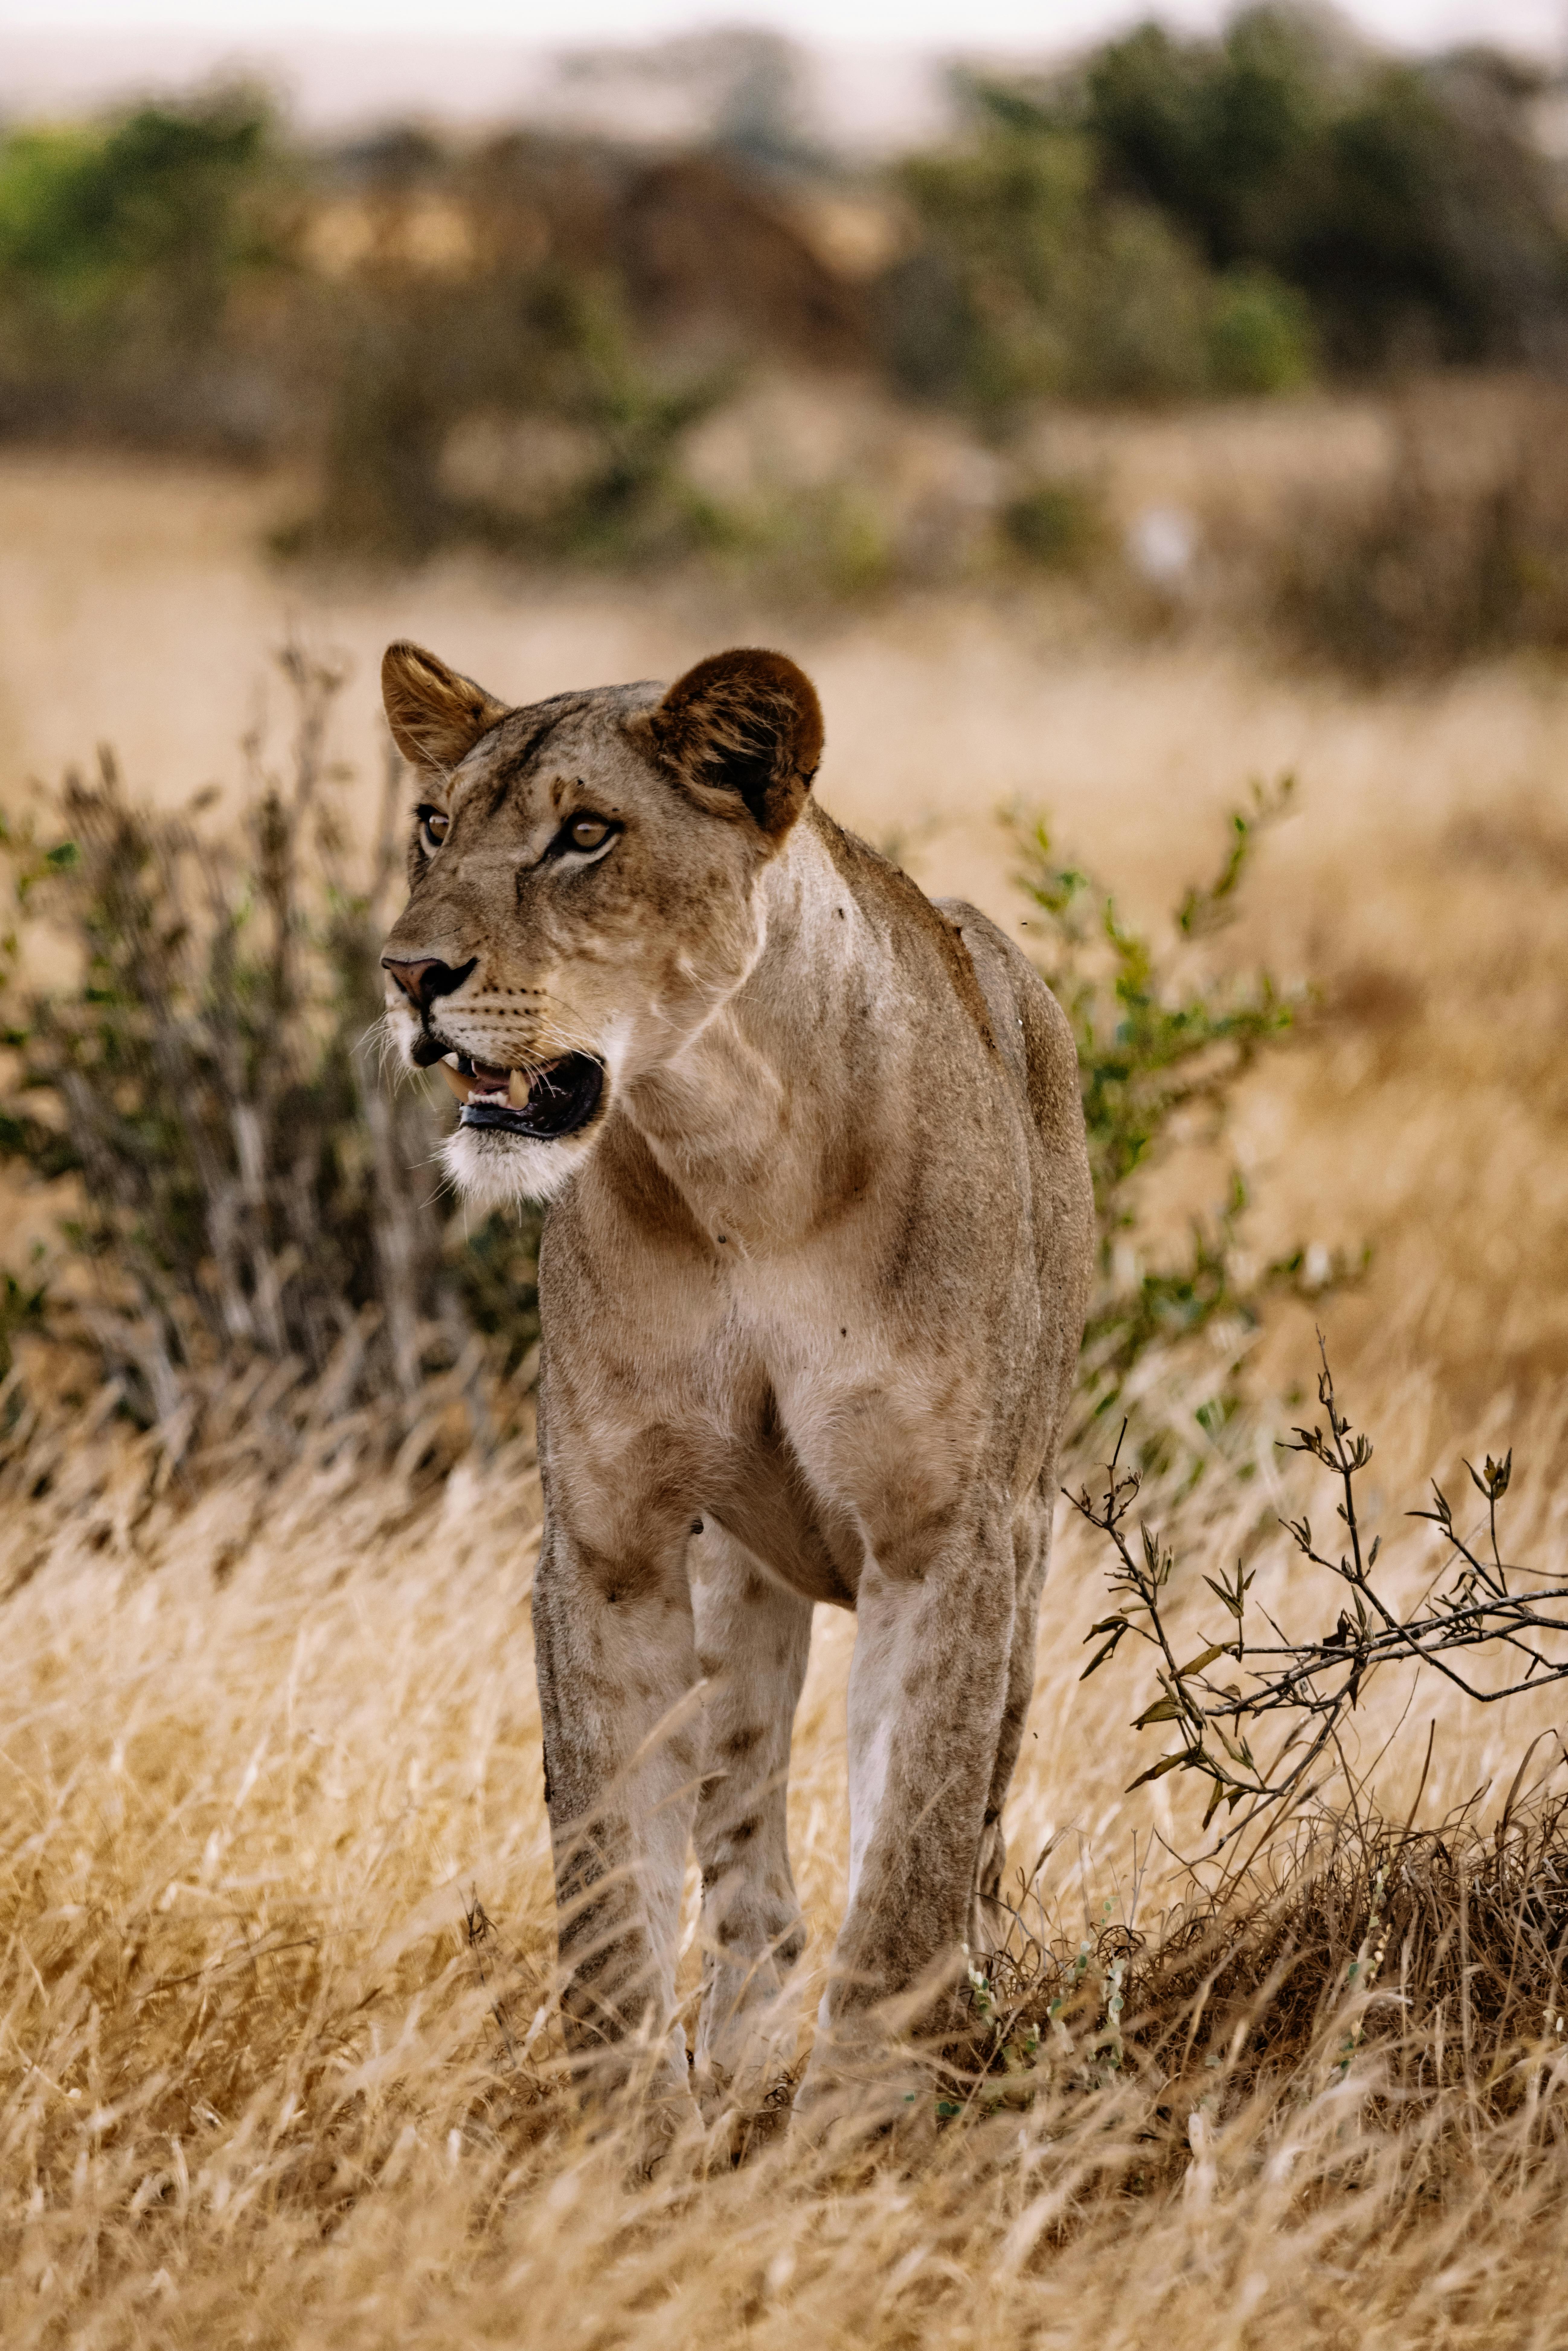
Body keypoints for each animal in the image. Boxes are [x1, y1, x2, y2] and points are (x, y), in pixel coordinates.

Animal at [379, 638, 1094, 2132]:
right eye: (434, 825)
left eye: (585, 835)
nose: (407, 970)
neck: (731, 1163)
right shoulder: (608, 1544)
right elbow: (606, 1881)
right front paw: (628, 2141)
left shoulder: (948, 1536)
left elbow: (910, 1865)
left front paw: (856, 2132)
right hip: (736, 1581)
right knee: (751, 1868)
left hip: (1027, 1546)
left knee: (972, 1834)